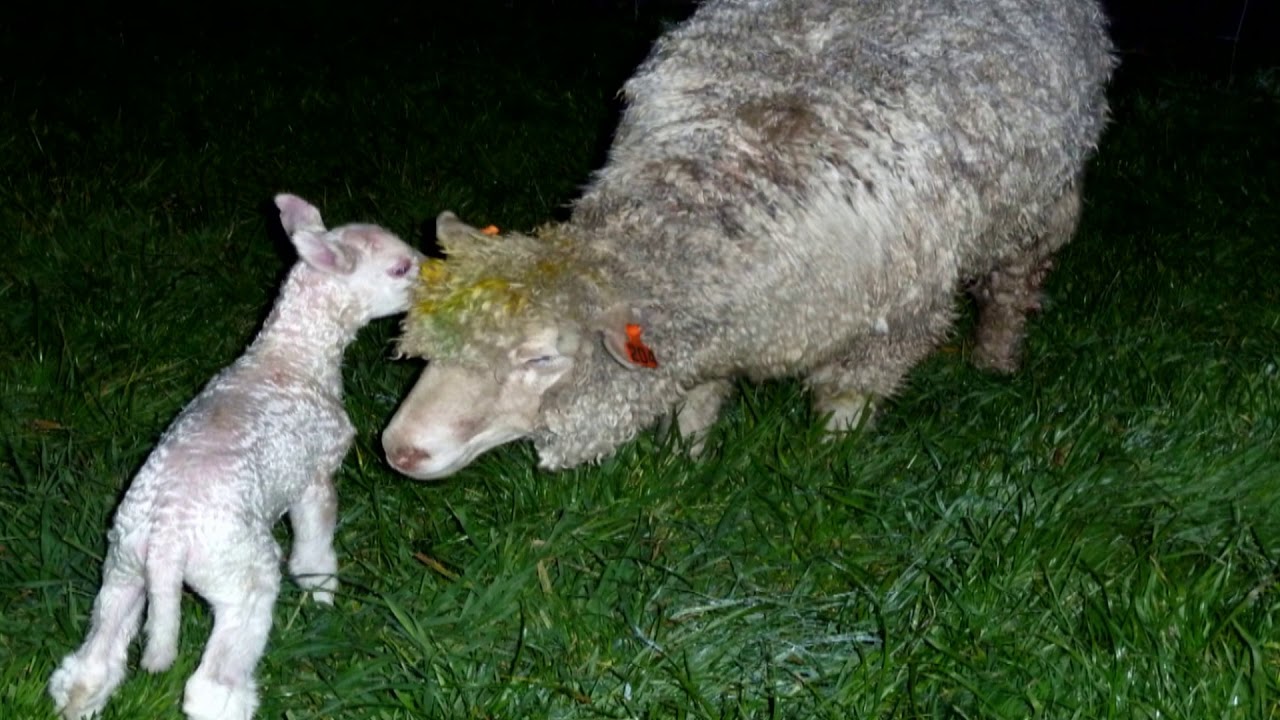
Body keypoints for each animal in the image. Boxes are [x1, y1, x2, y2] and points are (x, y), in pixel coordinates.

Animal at [47, 194, 423, 720]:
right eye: (399, 267)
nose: (438, 277)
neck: (295, 353)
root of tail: (167, 538)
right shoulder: (314, 475)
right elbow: (314, 543)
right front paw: (322, 591)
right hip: (241, 573)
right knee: (212, 682)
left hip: (123, 565)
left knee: (93, 658)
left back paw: (78, 701)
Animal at [381, 0, 1116, 479]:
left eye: (540, 358)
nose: (398, 450)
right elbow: (698, 397)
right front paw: (686, 460)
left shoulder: (893, 324)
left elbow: (845, 405)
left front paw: (829, 468)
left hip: (1043, 203)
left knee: (1013, 283)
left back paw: (995, 359)